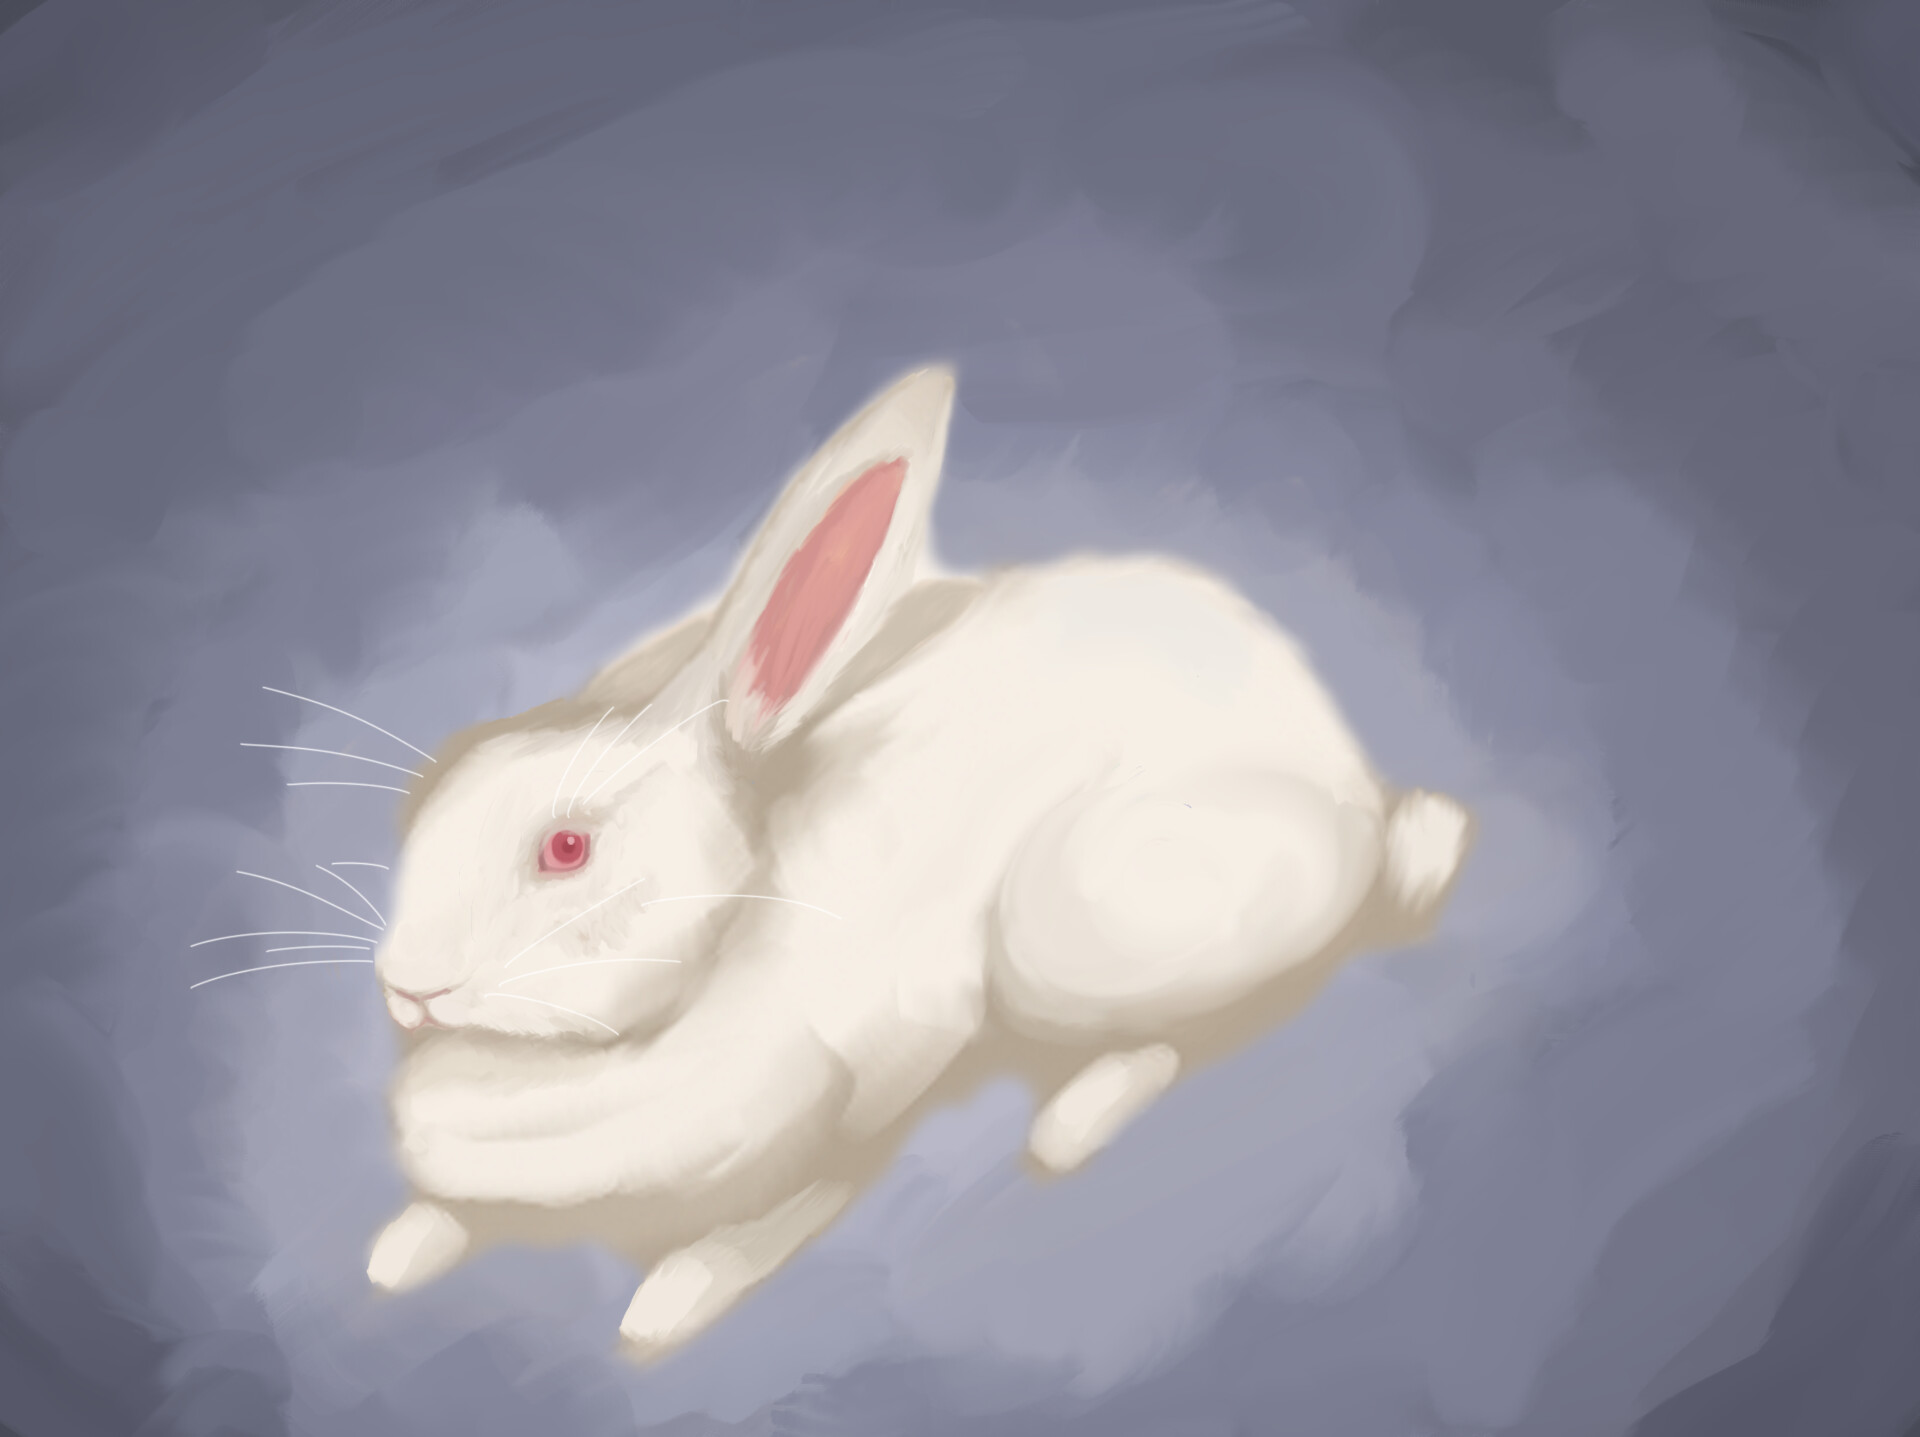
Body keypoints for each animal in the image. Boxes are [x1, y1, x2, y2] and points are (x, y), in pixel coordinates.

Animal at [365, 365, 1473, 1359]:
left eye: (566, 848)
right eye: (425, 806)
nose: (407, 986)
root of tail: (1348, 774)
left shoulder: (857, 1111)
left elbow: (766, 1226)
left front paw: (668, 1303)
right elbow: (439, 1225)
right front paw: (392, 1252)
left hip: (1073, 929)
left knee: (1188, 1029)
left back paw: (1069, 1125)